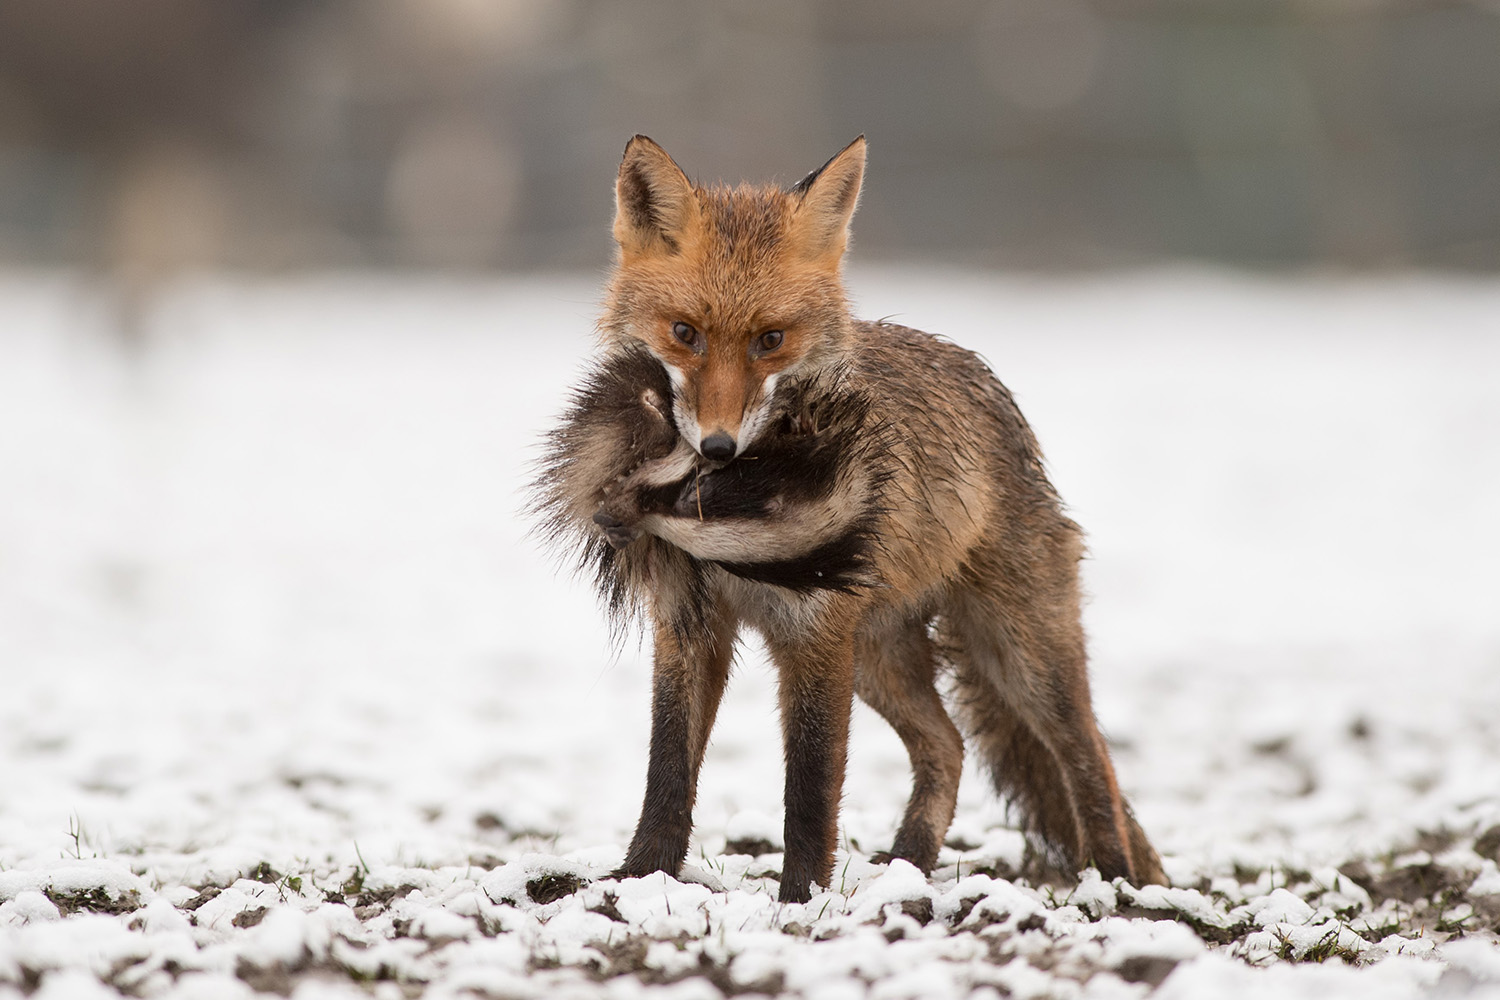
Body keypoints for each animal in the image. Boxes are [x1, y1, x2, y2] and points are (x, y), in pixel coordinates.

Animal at [534, 135, 1164, 903]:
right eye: (685, 333)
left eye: (770, 339)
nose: (717, 447)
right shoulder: (689, 623)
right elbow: (668, 770)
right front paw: (639, 879)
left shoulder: (814, 628)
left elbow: (809, 786)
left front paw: (800, 901)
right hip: (879, 660)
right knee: (948, 746)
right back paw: (908, 867)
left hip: (1019, 656)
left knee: (1089, 758)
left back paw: (1117, 887)